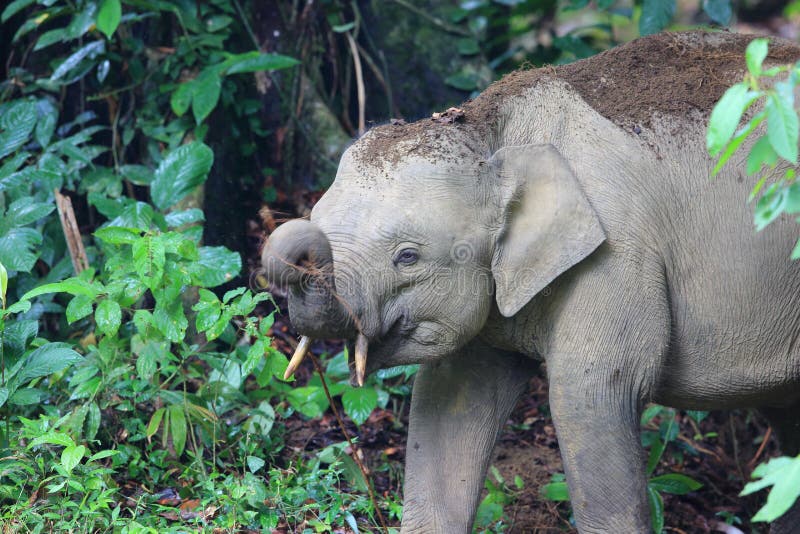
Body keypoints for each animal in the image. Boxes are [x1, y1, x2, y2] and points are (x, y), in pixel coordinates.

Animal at [260, 30, 800, 533]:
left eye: (407, 257)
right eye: (320, 217)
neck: (495, 132)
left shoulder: (618, 256)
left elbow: (593, 393)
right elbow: (449, 400)